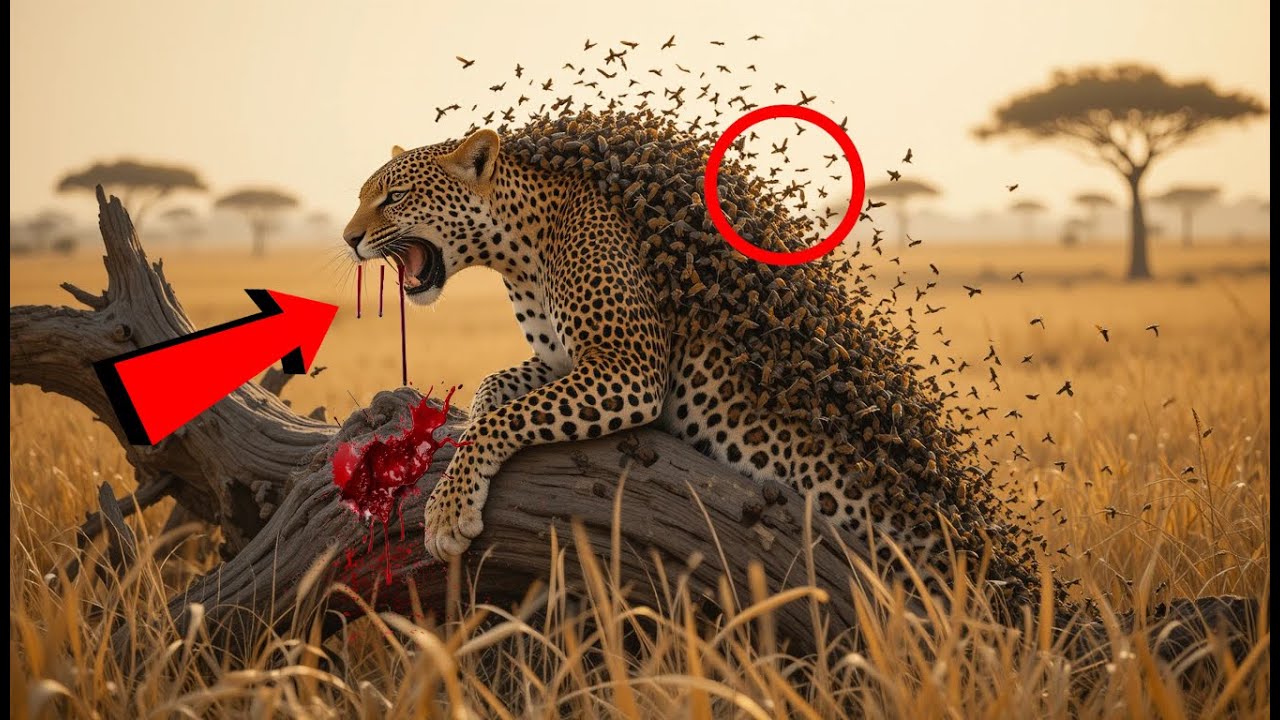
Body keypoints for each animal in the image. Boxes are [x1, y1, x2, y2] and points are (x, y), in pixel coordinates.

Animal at [342, 109, 1043, 613]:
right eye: (363, 196)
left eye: (393, 198)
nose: (348, 239)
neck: (520, 248)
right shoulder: (566, 362)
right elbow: (497, 390)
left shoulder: (626, 370)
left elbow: (502, 418)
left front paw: (448, 510)